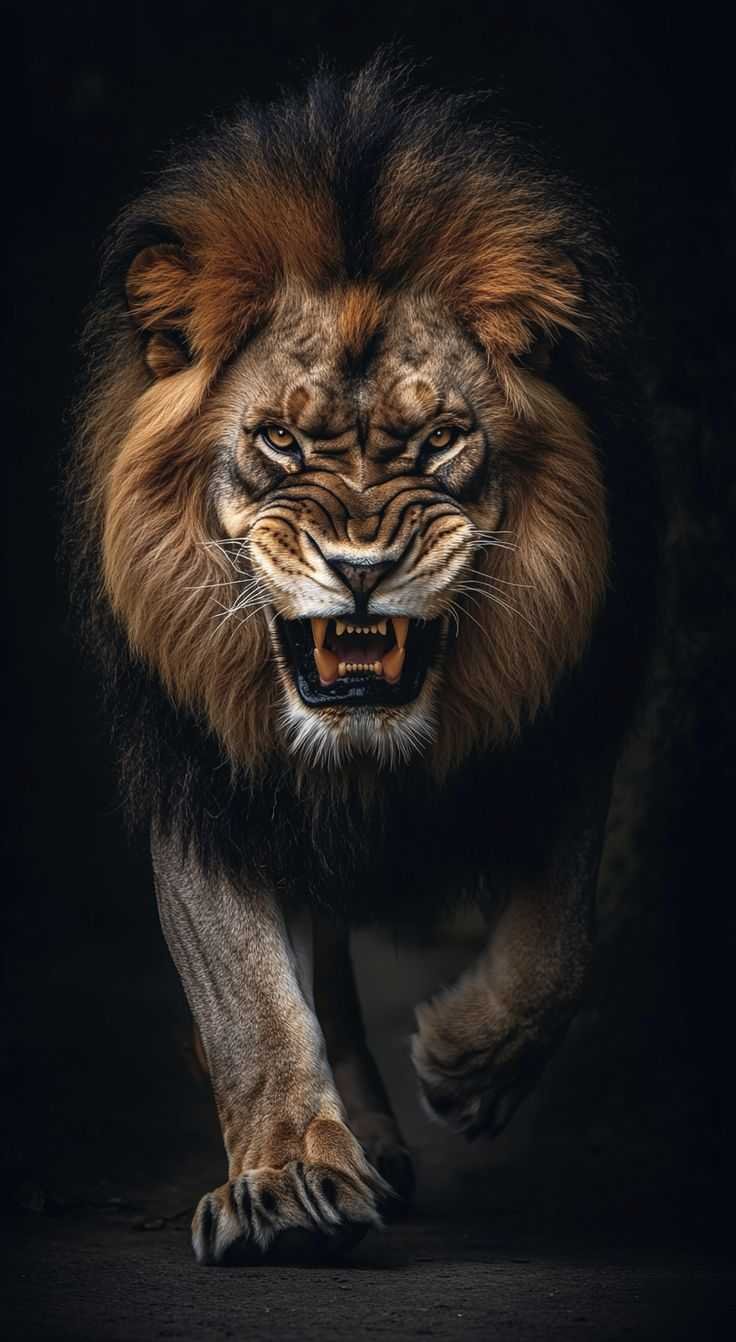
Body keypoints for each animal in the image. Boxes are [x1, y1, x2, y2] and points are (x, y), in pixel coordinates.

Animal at [68, 58, 656, 1264]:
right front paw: (291, 1175)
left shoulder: (566, 728)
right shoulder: (208, 773)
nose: (360, 569)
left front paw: (467, 1063)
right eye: (280, 441)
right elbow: (249, 999)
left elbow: (556, 947)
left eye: (439, 440)